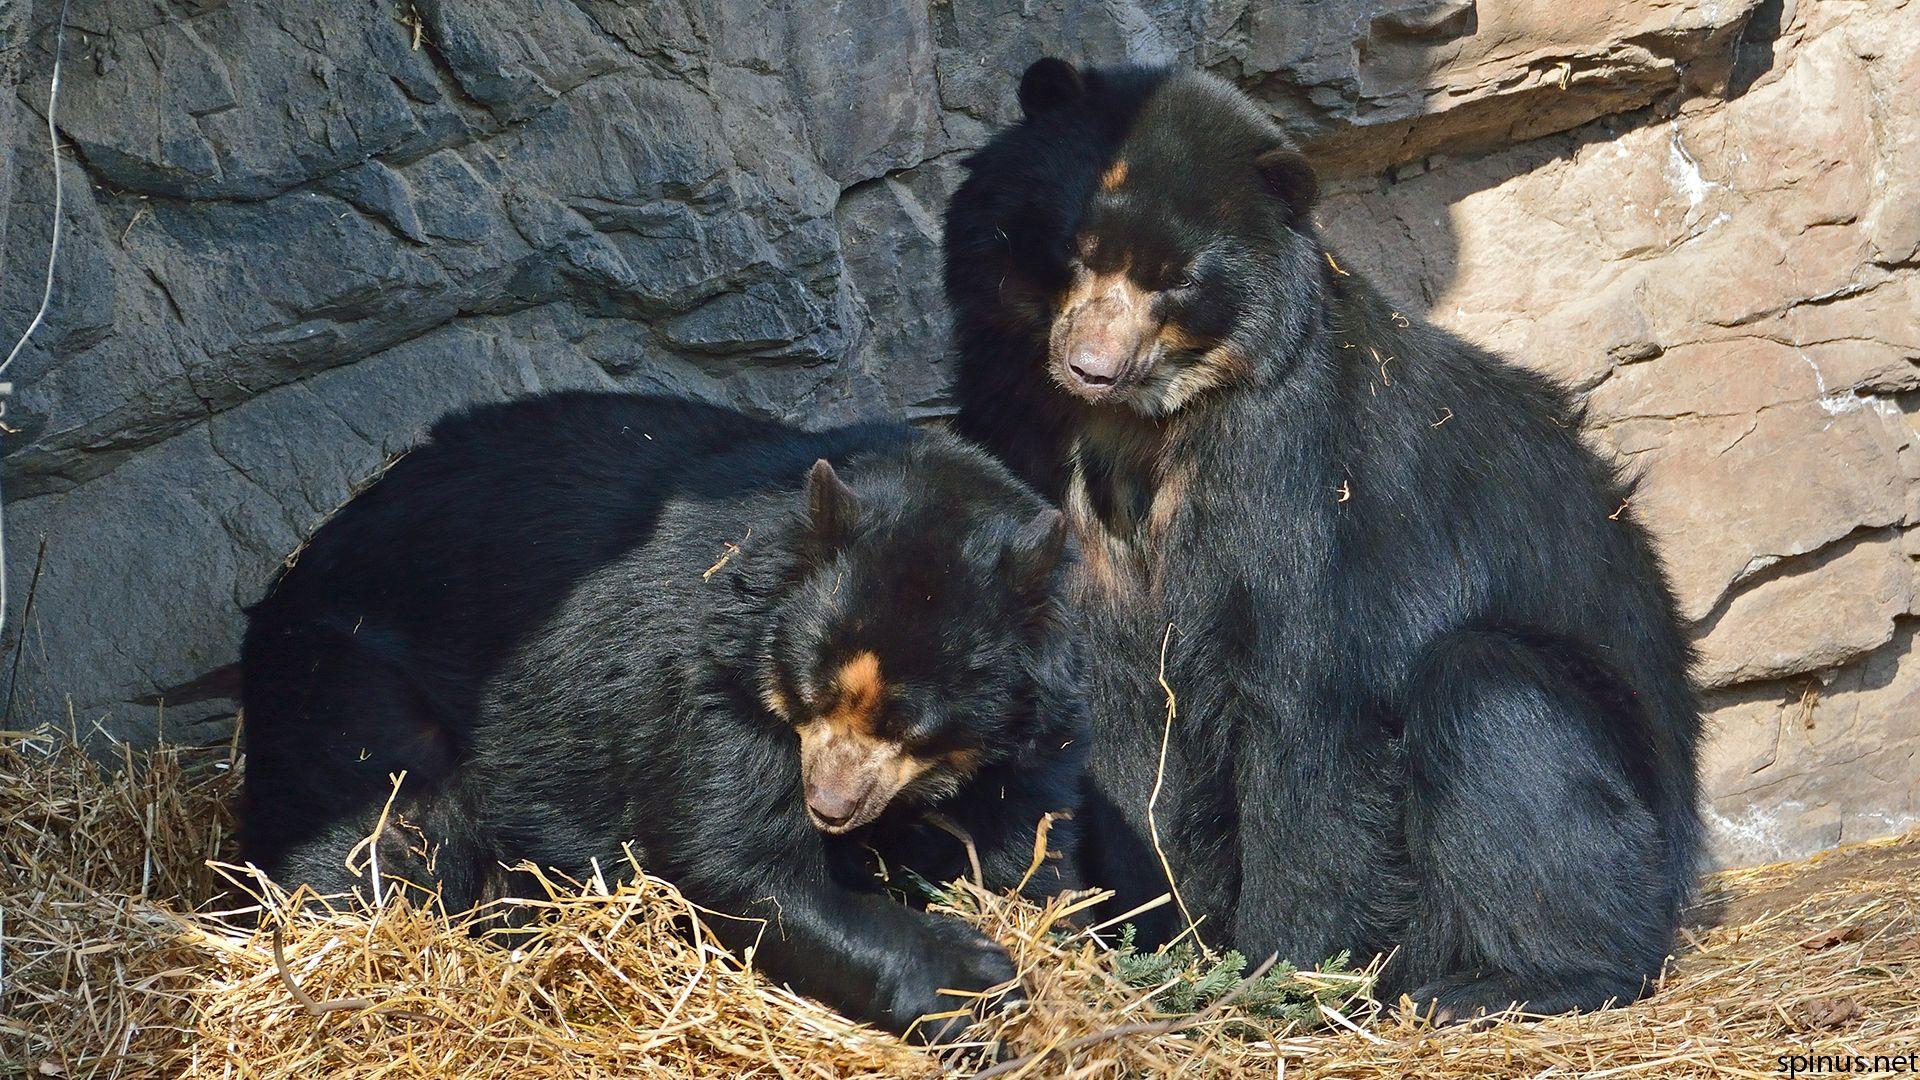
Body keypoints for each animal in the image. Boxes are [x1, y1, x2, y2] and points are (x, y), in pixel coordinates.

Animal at [239, 391, 1086, 1040]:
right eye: (813, 694)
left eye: (912, 729)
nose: (830, 807)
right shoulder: (699, 677)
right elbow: (740, 869)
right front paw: (975, 981)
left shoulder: (1026, 728)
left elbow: (1029, 844)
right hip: (350, 679)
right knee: (378, 836)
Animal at [943, 60, 1703, 1020]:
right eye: (1075, 250)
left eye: (1176, 280)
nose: (1092, 366)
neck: (1147, 429)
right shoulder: (1032, 450)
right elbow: (1119, 727)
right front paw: (1156, 937)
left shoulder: (1302, 482)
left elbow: (1311, 706)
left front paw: (1284, 967)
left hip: (1615, 756)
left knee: (1494, 707)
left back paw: (1507, 980)